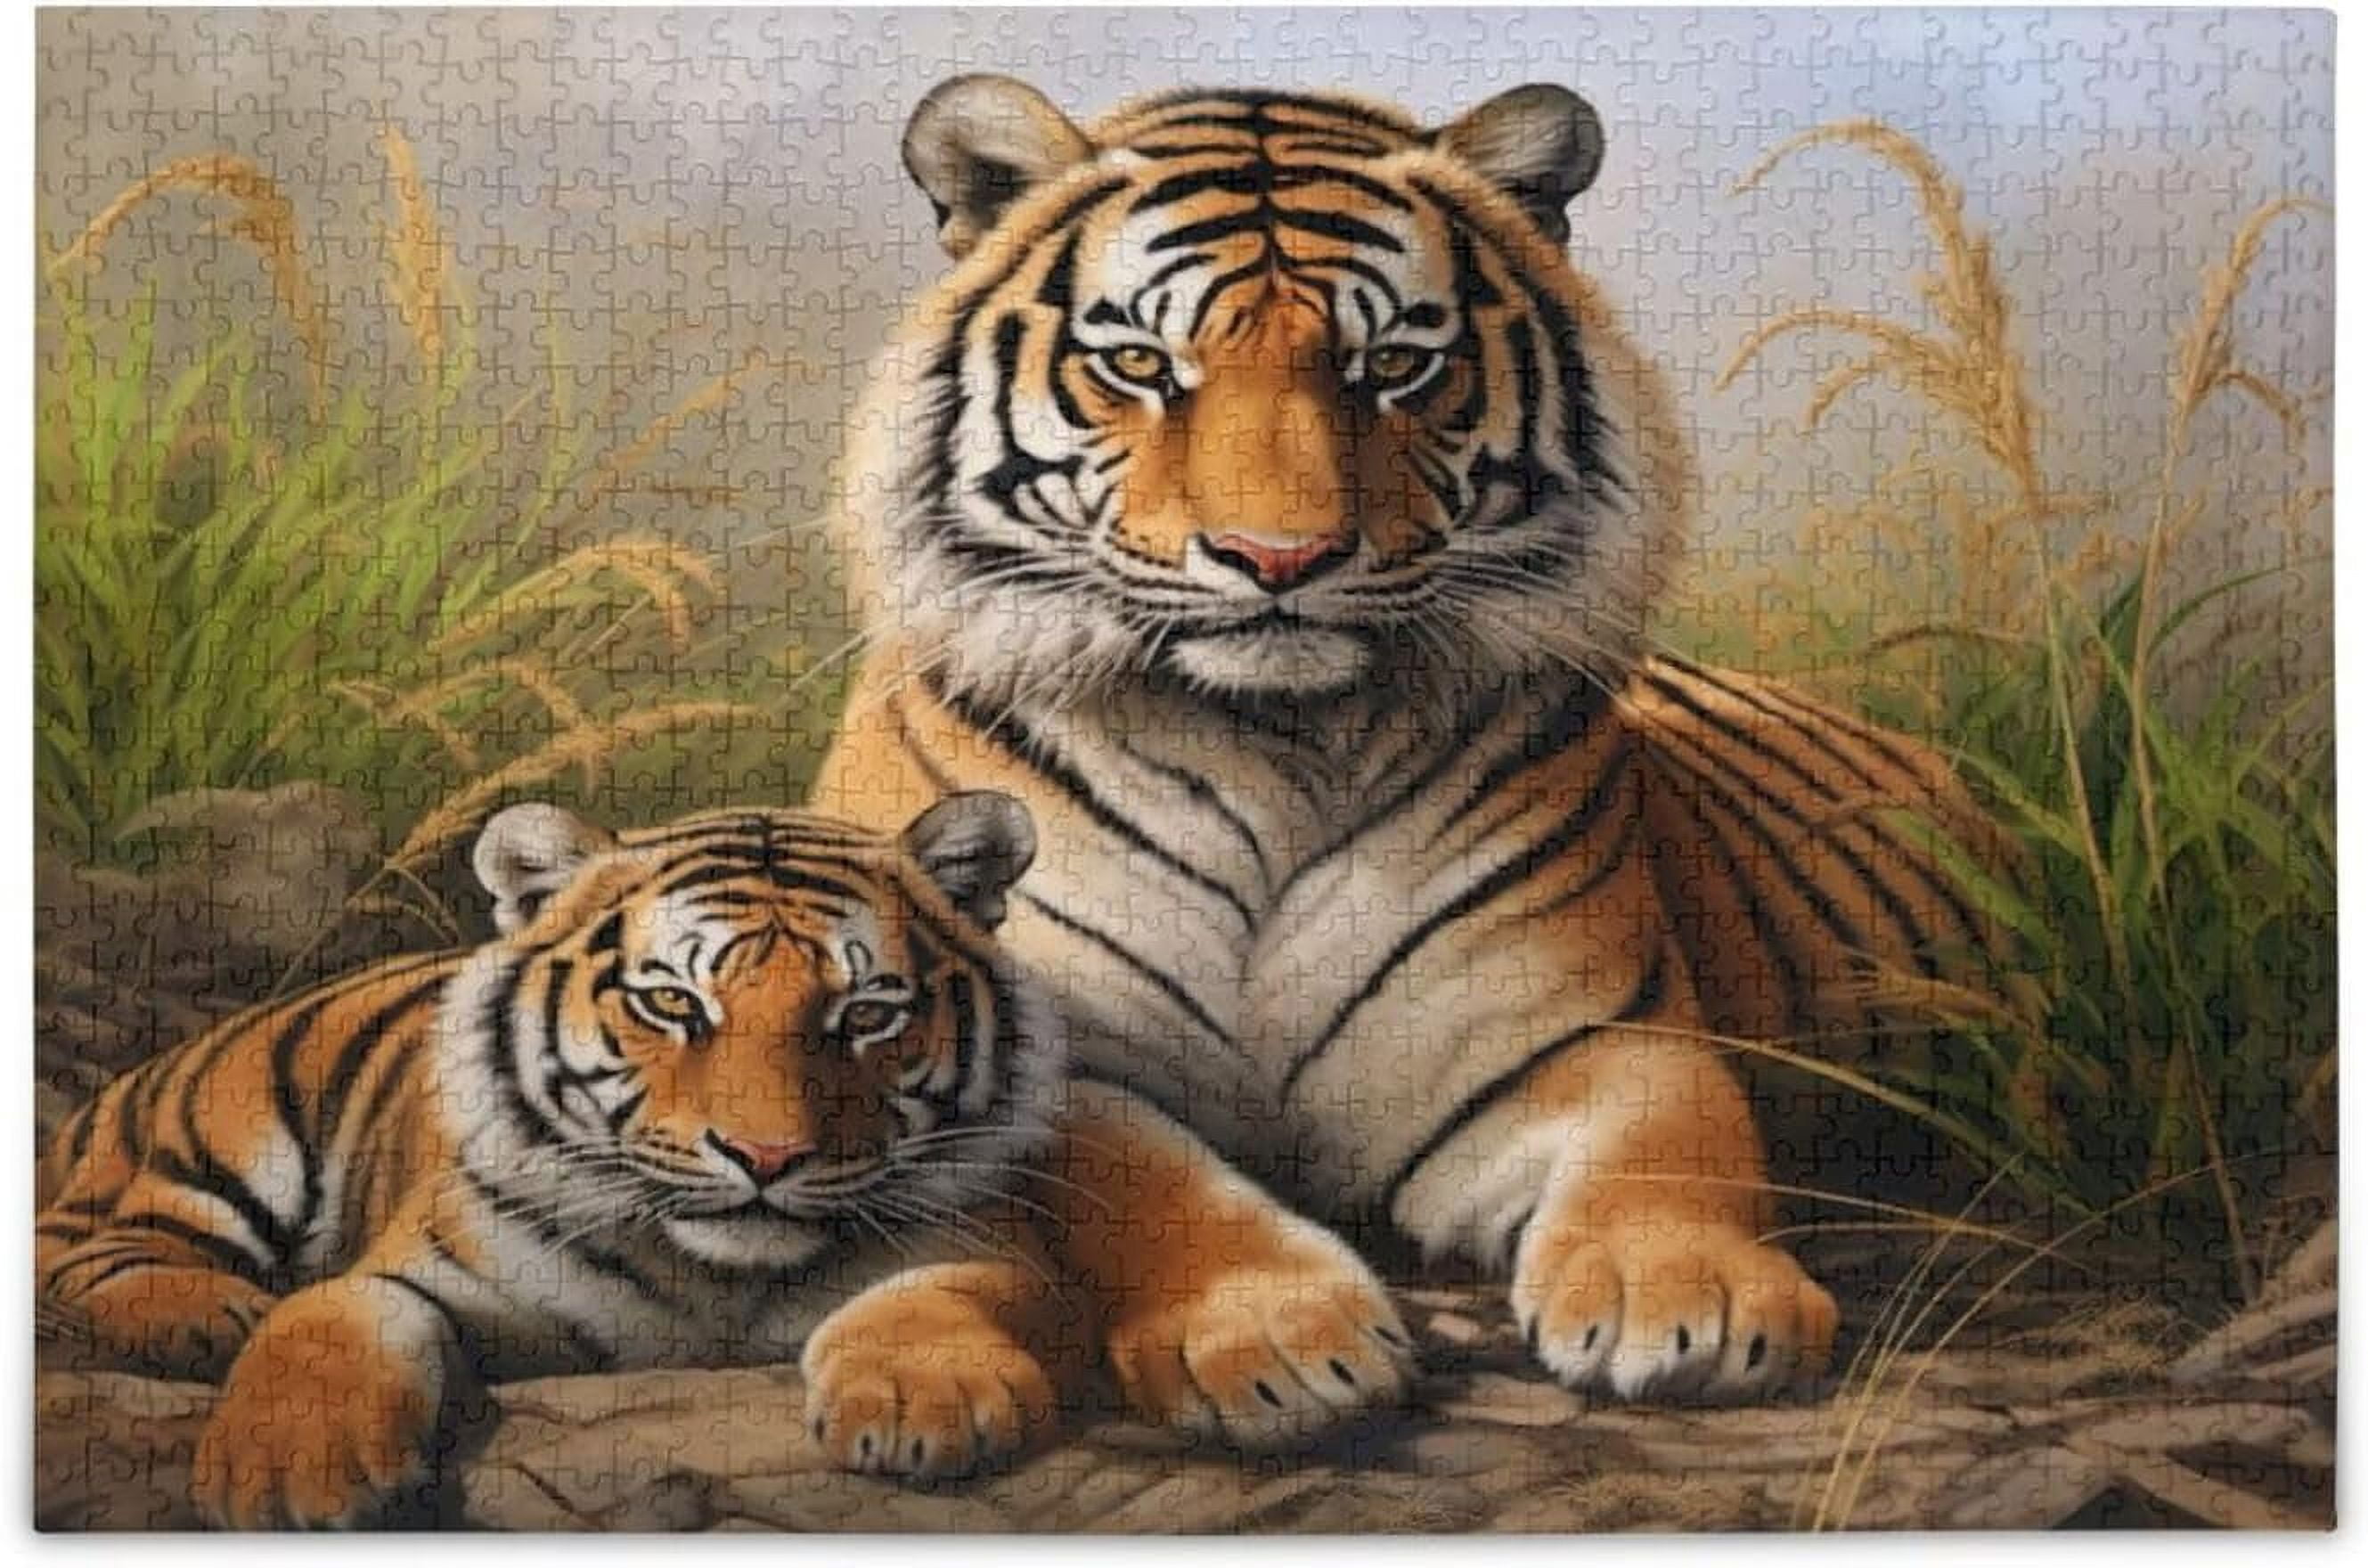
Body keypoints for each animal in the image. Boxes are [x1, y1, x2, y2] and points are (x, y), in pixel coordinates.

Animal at [37, 790, 1412, 1527]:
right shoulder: (422, 1270)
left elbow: (936, 1296)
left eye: (865, 1014)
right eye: (671, 1004)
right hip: (222, 1124)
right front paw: (286, 1475)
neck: (710, 1273)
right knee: (89, 1239)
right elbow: (331, 1315)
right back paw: (201, 1313)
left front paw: (917, 1403)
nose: (764, 1151)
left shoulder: (989, 1247)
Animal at [811, 76, 2006, 1406]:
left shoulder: (1581, 1032)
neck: (1271, 742)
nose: (1278, 559)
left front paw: (1684, 1293)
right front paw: (1276, 1332)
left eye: (1390, 365)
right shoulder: (1039, 1060)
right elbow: (1143, 1179)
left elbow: (1672, 1133)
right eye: (1138, 364)